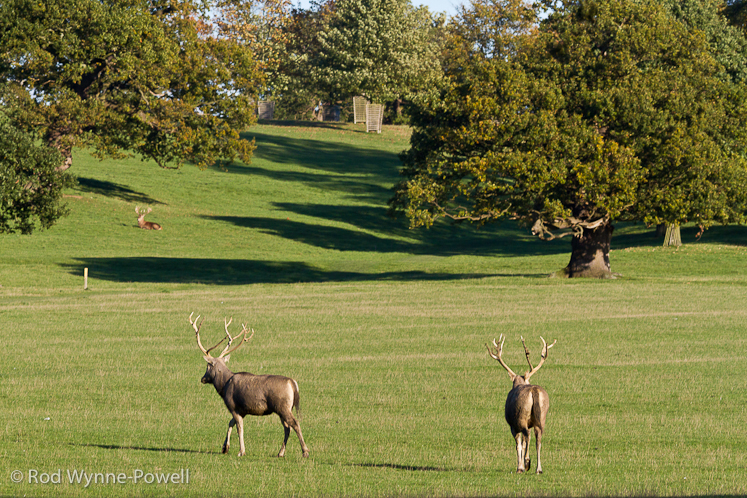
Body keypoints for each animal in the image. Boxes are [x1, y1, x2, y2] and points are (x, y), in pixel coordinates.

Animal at [193, 314, 312, 458]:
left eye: (208, 366)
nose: (203, 379)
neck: (224, 386)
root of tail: (293, 383)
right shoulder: (242, 410)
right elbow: (231, 422)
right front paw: (225, 448)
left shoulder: (233, 406)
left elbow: (239, 428)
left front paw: (241, 451)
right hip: (284, 408)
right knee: (287, 427)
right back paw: (281, 452)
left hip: (283, 406)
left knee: (294, 423)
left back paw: (305, 451)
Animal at [488, 334, 560, 474]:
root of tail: (533, 391)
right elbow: (526, 441)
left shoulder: (513, 425)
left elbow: (519, 444)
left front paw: (520, 466)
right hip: (542, 417)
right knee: (538, 437)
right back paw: (538, 468)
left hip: (521, 416)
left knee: (526, 436)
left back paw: (526, 464)